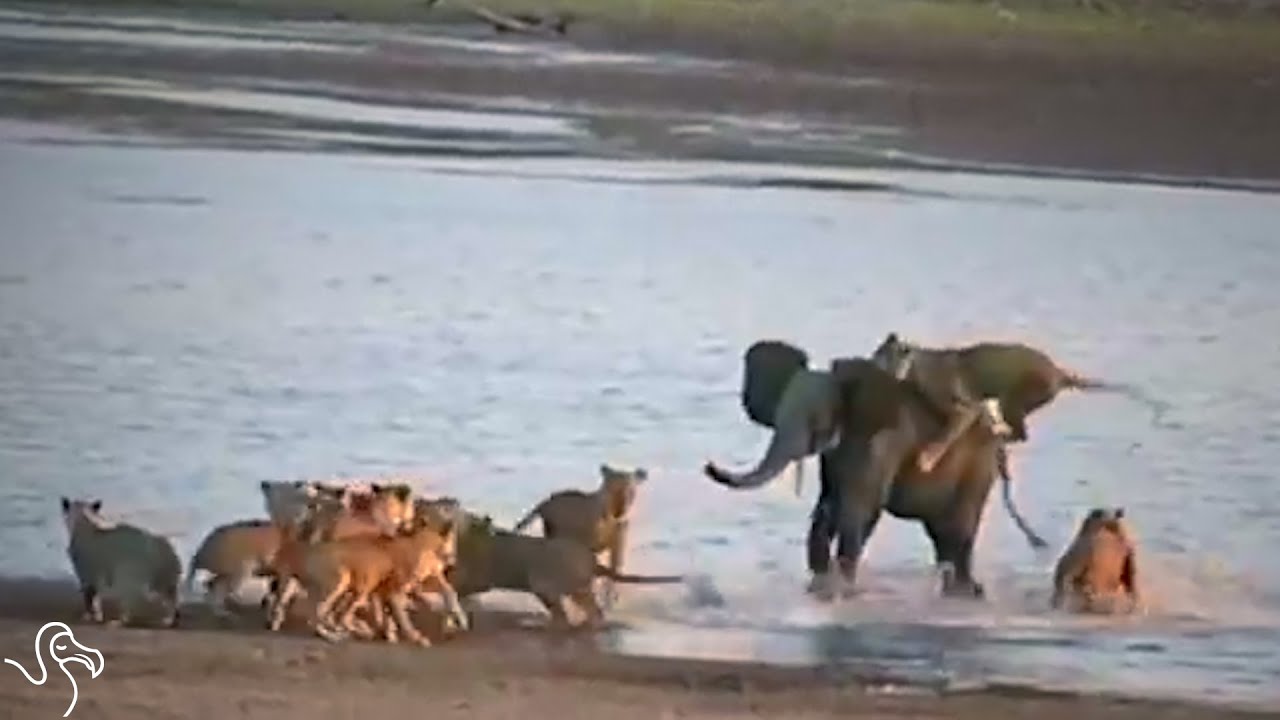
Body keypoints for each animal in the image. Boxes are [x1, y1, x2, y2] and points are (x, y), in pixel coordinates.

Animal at [61, 497, 181, 628]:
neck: (84, 523)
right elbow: (96, 594)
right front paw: (97, 614)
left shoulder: (85, 569)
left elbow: (89, 594)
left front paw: (89, 614)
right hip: (164, 572)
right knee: (169, 593)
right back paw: (171, 617)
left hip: (131, 567)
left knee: (130, 592)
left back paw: (122, 619)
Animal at [511, 464, 647, 606]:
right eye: (610, 488)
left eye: (631, 491)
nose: (619, 512)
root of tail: (545, 503)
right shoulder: (587, 545)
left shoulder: (617, 544)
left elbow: (613, 572)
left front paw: (609, 600)